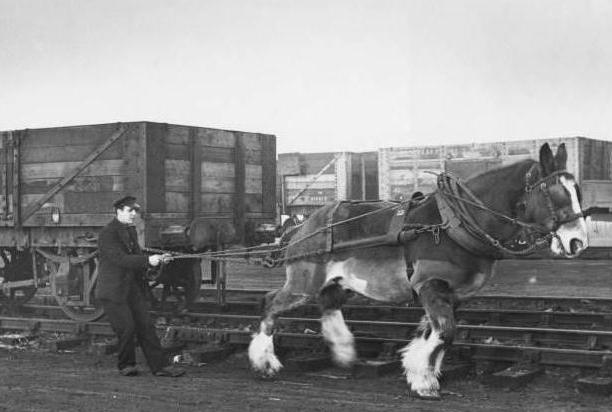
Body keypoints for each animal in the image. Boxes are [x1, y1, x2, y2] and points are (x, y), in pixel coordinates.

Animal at [249, 142, 588, 400]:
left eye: (578, 191)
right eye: (556, 193)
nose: (578, 242)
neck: (455, 224)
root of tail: (303, 225)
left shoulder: (450, 293)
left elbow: (433, 334)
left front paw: (419, 370)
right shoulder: (431, 284)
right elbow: (445, 332)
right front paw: (424, 382)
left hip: (337, 281)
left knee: (328, 304)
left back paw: (344, 350)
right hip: (304, 281)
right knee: (270, 303)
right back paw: (265, 362)